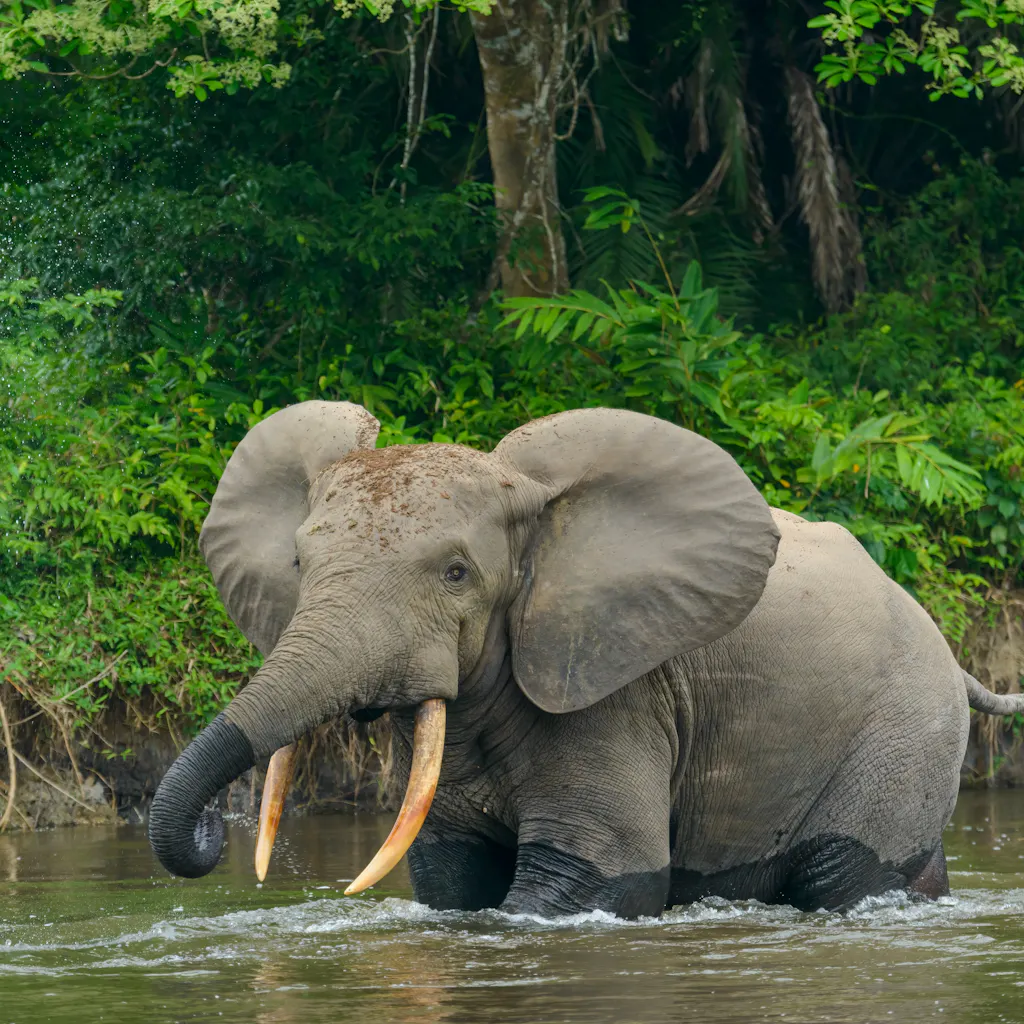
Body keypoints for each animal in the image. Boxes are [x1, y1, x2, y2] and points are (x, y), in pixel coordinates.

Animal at [148, 402, 1021, 918]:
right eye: (299, 566)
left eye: (457, 574)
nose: (215, 833)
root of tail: (953, 653)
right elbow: (452, 880)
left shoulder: (621, 693)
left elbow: (592, 876)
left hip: (903, 730)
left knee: (845, 875)